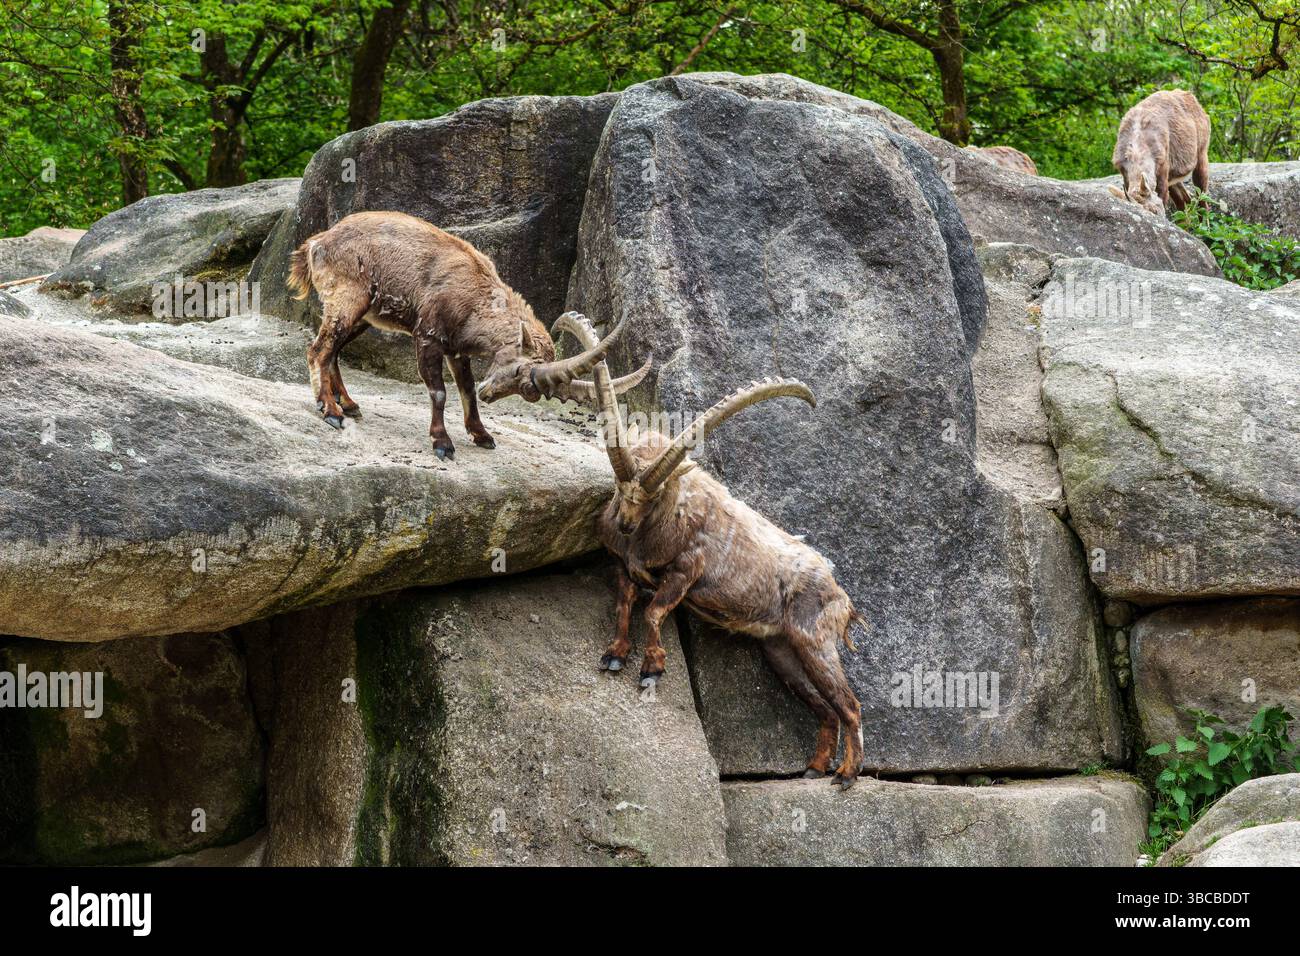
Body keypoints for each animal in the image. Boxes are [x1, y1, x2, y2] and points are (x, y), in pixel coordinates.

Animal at [287, 211, 648, 459]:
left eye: (528, 392)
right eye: (520, 374)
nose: (492, 395)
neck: (475, 295)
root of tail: (317, 243)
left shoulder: (456, 350)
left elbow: (467, 390)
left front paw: (482, 435)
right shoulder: (427, 337)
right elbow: (438, 392)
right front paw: (442, 443)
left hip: (363, 315)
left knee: (333, 351)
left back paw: (348, 404)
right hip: (347, 300)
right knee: (318, 350)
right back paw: (330, 410)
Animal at [553, 313, 866, 789]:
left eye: (654, 494)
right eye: (619, 487)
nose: (624, 523)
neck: (660, 523)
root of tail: (842, 598)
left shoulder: (686, 572)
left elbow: (654, 611)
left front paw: (651, 669)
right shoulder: (624, 566)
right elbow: (625, 604)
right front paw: (615, 655)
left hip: (816, 641)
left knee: (849, 705)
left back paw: (846, 776)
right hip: (782, 652)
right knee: (823, 707)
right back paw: (814, 768)